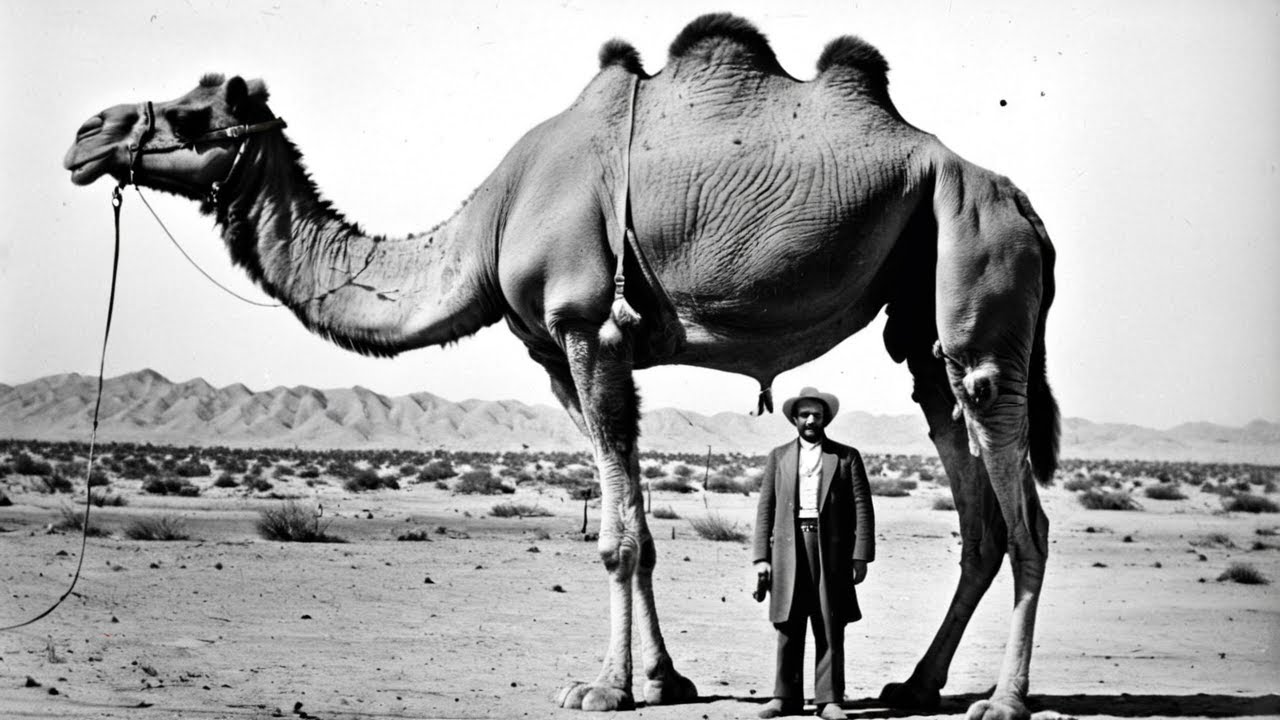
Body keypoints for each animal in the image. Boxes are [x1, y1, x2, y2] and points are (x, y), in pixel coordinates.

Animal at [63, 14, 1059, 720]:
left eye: (193, 115)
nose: (86, 134)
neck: (489, 222)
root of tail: (1021, 203)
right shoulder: (556, 351)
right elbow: (637, 520)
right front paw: (664, 682)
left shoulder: (588, 324)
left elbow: (617, 536)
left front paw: (601, 690)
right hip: (924, 305)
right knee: (970, 493)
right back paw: (917, 687)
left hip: (977, 263)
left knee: (1023, 507)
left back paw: (1003, 702)